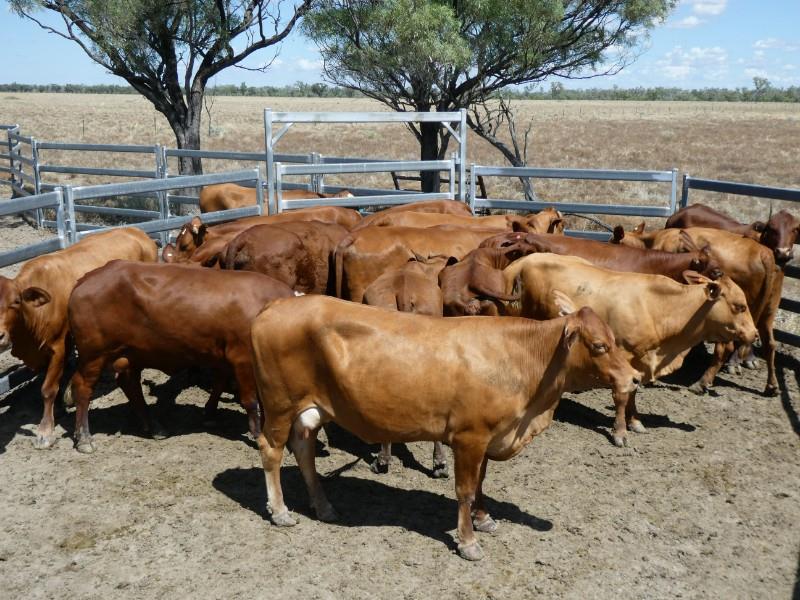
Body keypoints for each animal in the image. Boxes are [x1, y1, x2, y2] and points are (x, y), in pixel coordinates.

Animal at [0, 228, 158, 449]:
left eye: (15, 301)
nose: (0, 336)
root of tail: (136, 231)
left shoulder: (59, 345)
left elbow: (48, 388)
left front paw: (45, 431)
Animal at [66, 261, 296, 453]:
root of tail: (88, 276)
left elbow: (225, 385)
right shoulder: (242, 358)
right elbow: (251, 400)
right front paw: (258, 435)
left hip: (133, 354)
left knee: (130, 384)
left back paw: (153, 426)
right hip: (94, 355)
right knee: (83, 387)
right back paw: (84, 438)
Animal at [249, 295, 640, 560]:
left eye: (614, 339)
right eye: (599, 345)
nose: (634, 378)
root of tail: (275, 305)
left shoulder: (488, 437)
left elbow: (481, 482)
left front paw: (484, 519)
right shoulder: (470, 436)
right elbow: (465, 489)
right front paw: (468, 541)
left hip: (310, 411)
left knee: (304, 450)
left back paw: (324, 506)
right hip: (280, 405)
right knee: (271, 450)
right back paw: (280, 511)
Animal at [503, 254, 758, 446]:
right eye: (739, 306)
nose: (755, 334)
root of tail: (521, 262)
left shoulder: (638, 362)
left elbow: (634, 390)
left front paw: (635, 421)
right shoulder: (621, 356)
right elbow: (622, 394)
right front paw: (620, 432)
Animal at [610, 225, 782, 395]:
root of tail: (764, 254)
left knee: (726, 348)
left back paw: (702, 382)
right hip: (767, 313)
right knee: (770, 344)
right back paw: (772, 386)